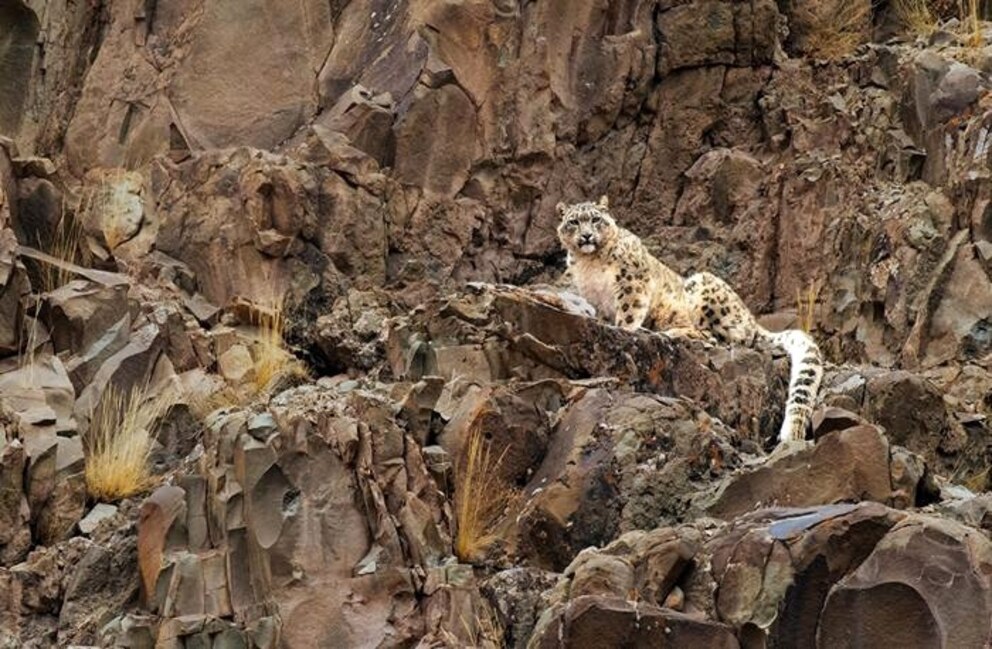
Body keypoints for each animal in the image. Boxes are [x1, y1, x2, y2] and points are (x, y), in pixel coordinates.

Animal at [556, 195, 823, 444]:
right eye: (573, 222)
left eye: (595, 219)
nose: (587, 236)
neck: (590, 265)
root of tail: (752, 320)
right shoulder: (593, 298)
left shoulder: (632, 283)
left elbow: (628, 315)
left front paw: (624, 331)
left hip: (704, 290)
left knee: (715, 337)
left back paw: (668, 333)